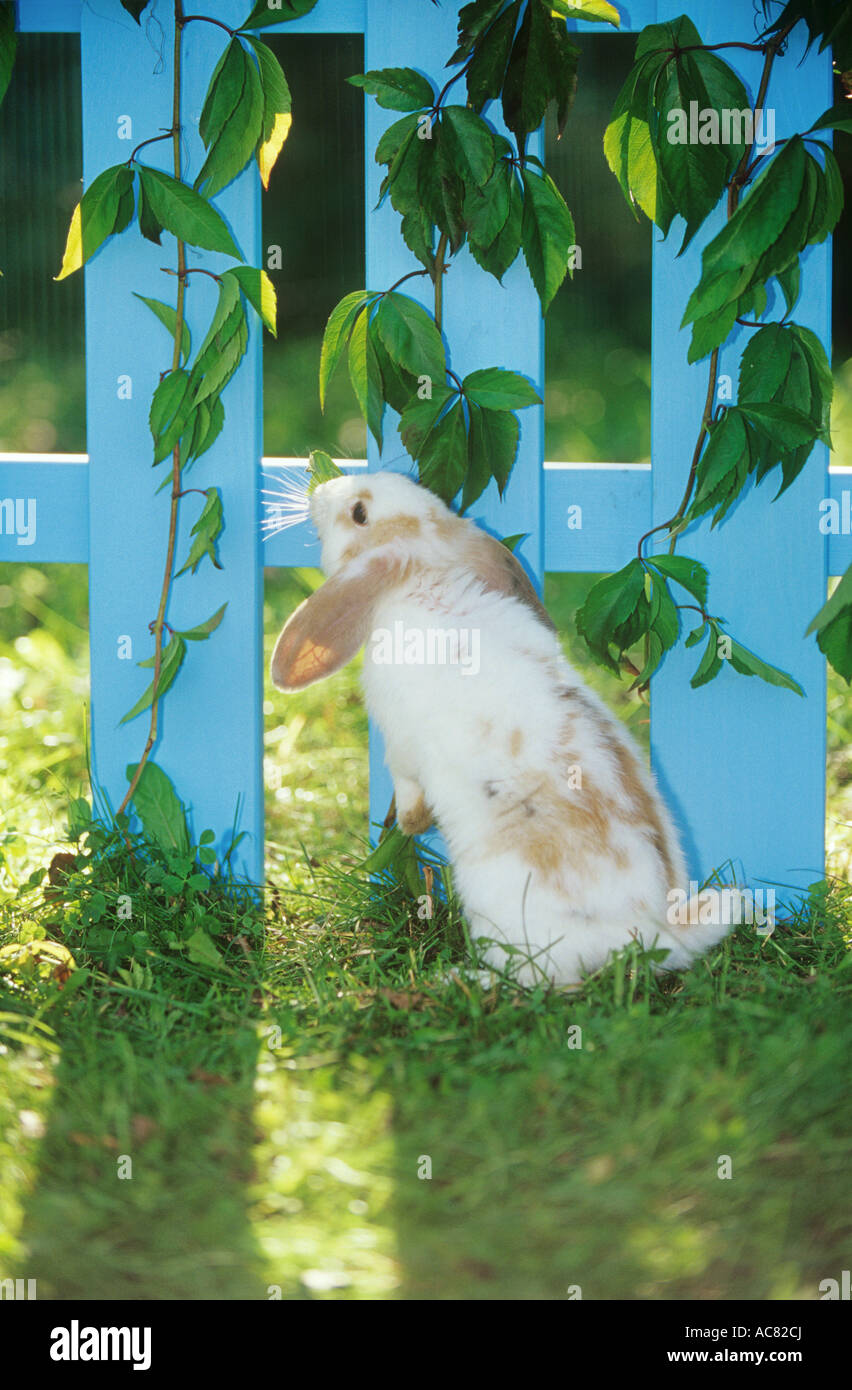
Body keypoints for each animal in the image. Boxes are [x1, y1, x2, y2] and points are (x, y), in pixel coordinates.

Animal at [270, 469, 752, 989]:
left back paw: (460, 979)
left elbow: (407, 786)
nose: (322, 490)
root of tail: (656, 931)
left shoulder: (400, 745)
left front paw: (411, 822)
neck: (420, 577)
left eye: (360, 513)